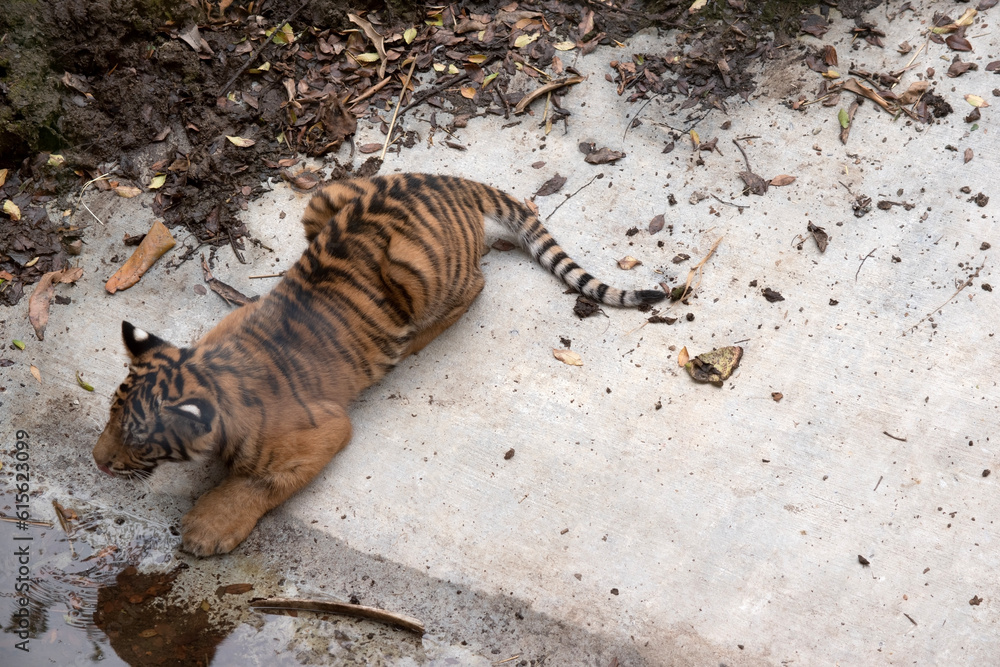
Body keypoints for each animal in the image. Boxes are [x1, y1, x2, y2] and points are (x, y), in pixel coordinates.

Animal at [92, 173, 666, 556]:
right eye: (109, 417)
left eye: (139, 439)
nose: (97, 461)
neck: (211, 370)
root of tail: (452, 184)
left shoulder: (324, 431)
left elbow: (260, 484)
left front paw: (207, 529)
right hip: (325, 197)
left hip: (417, 268)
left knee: (478, 285)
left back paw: (413, 342)